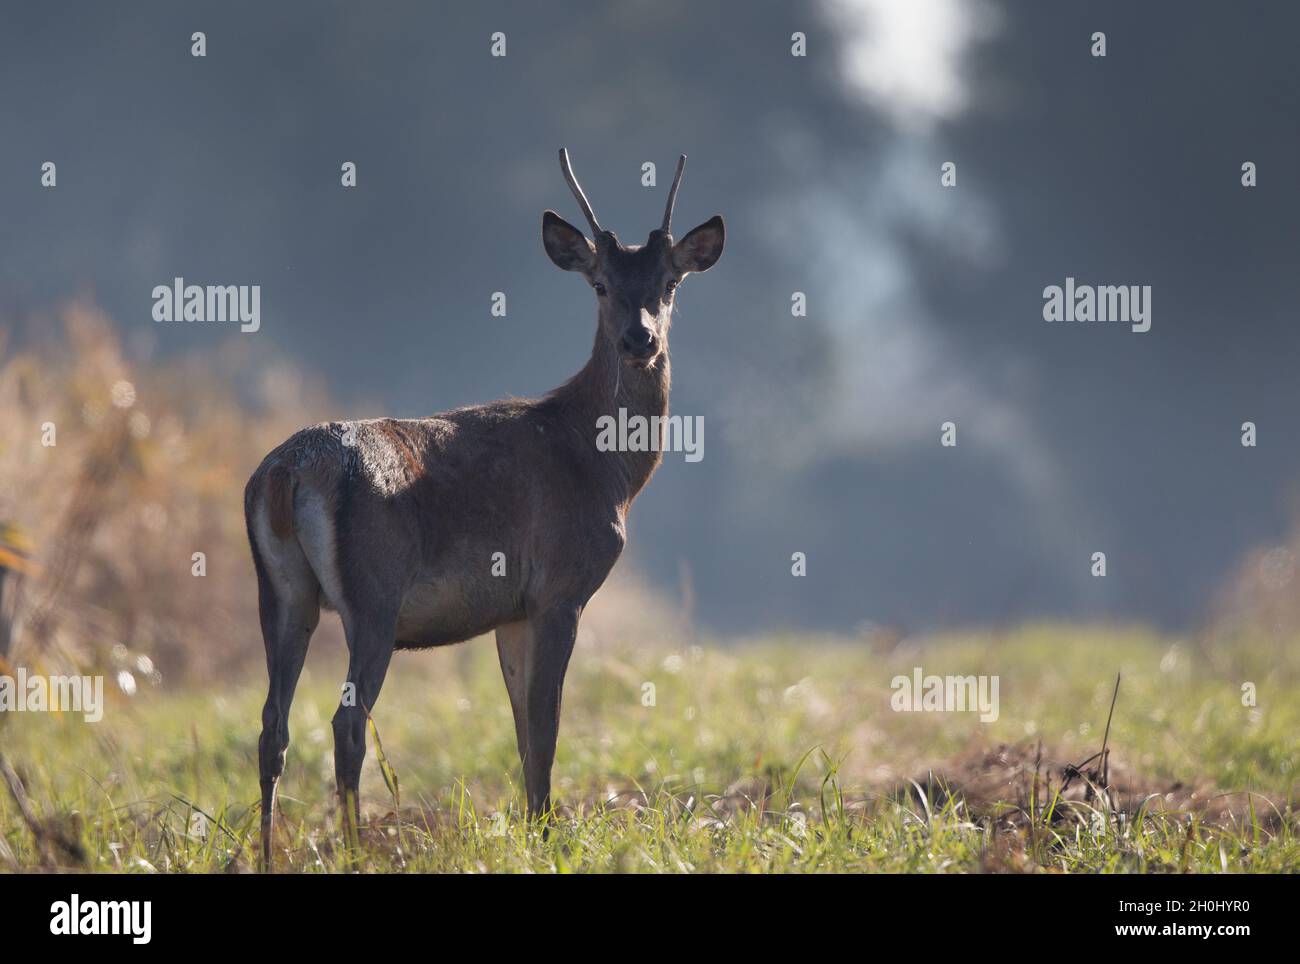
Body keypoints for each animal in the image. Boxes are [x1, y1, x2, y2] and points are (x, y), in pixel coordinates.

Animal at [244, 149, 724, 867]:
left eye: (670, 283)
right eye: (600, 284)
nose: (640, 339)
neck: (608, 472)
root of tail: (286, 472)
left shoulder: (510, 611)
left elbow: (521, 726)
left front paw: (535, 829)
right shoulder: (559, 589)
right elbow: (547, 725)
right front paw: (549, 837)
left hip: (280, 591)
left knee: (272, 724)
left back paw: (266, 854)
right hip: (371, 595)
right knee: (347, 721)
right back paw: (355, 850)